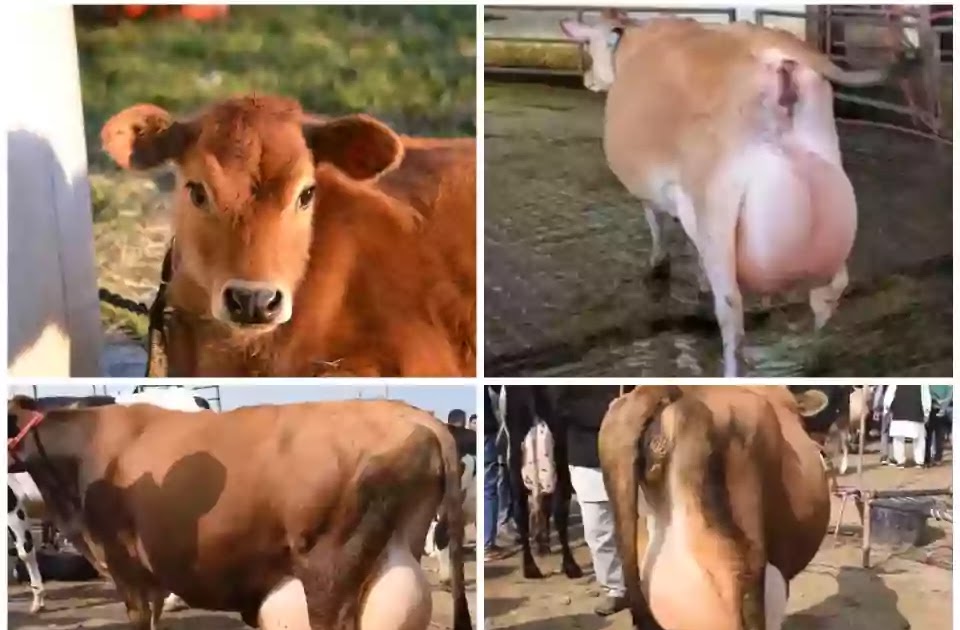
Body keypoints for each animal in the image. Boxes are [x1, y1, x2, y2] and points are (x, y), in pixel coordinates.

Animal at [501, 386, 583, 580]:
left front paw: (542, 545)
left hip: (514, 460)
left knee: (521, 513)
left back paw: (530, 567)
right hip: (560, 461)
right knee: (559, 512)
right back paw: (571, 566)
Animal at [560, 12, 915, 376]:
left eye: (588, 46)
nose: (587, 79)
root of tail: (772, 46)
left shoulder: (652, 191)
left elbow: (657, 226)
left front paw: (658, 267)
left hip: (716, 199)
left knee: (731, 309)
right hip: (831, 184)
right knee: (831, 289)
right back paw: (811, 352)